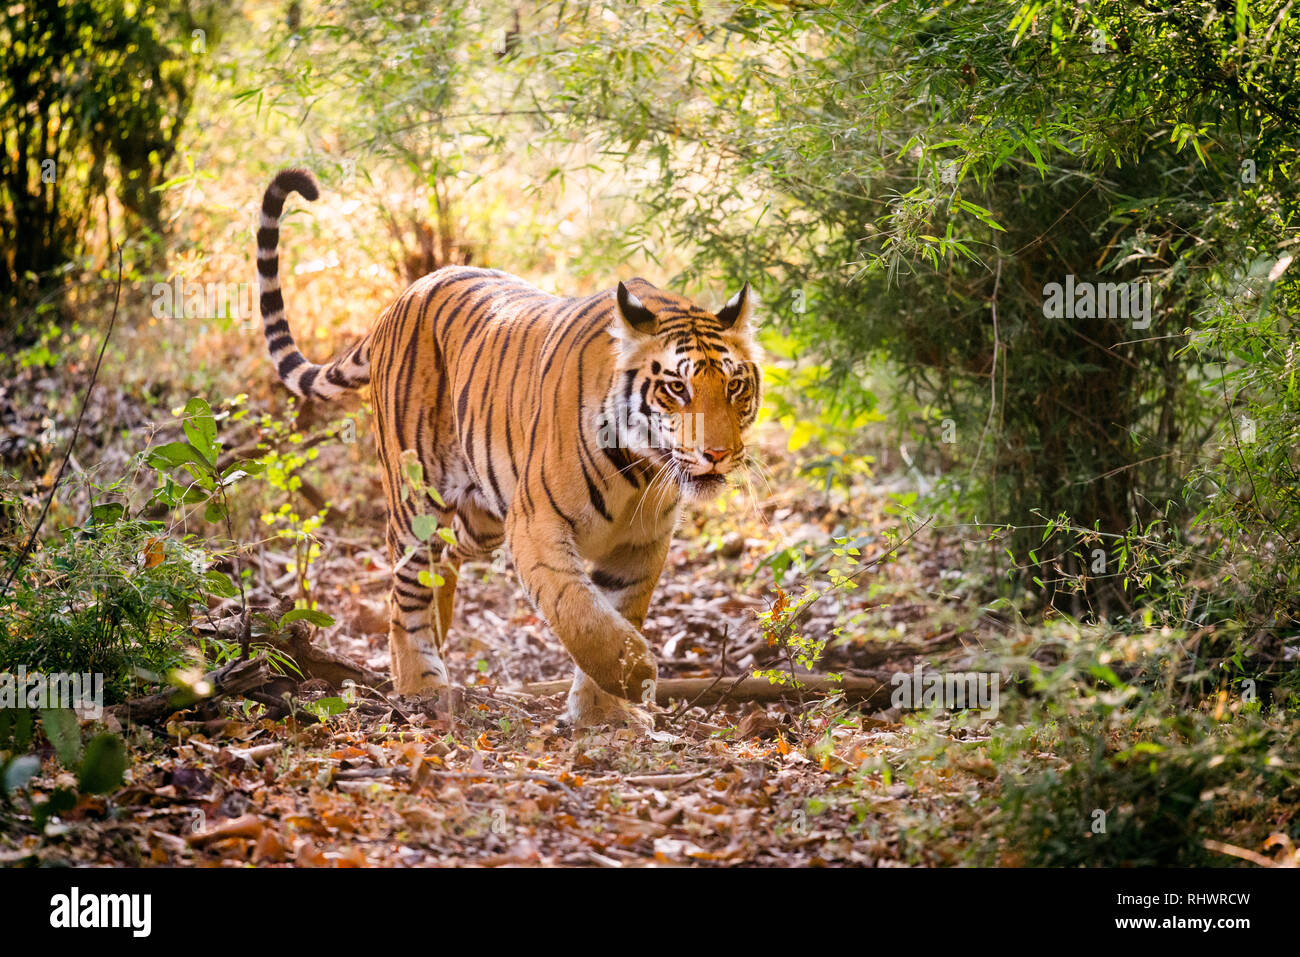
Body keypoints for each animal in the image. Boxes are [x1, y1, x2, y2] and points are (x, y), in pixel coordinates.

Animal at [256, 168, 762, 726]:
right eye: (677, 388)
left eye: (735, 387)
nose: (718, 453)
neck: (642, 470)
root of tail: (399, 300)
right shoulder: (536, 523)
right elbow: (579, 611)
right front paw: (634, 674)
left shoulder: (641, 543)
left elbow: (620, 609)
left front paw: (603, 712)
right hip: (419, 497)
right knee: (403, 592)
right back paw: (420, 684)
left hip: (482, 516)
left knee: (444, 559)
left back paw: (441, 631)